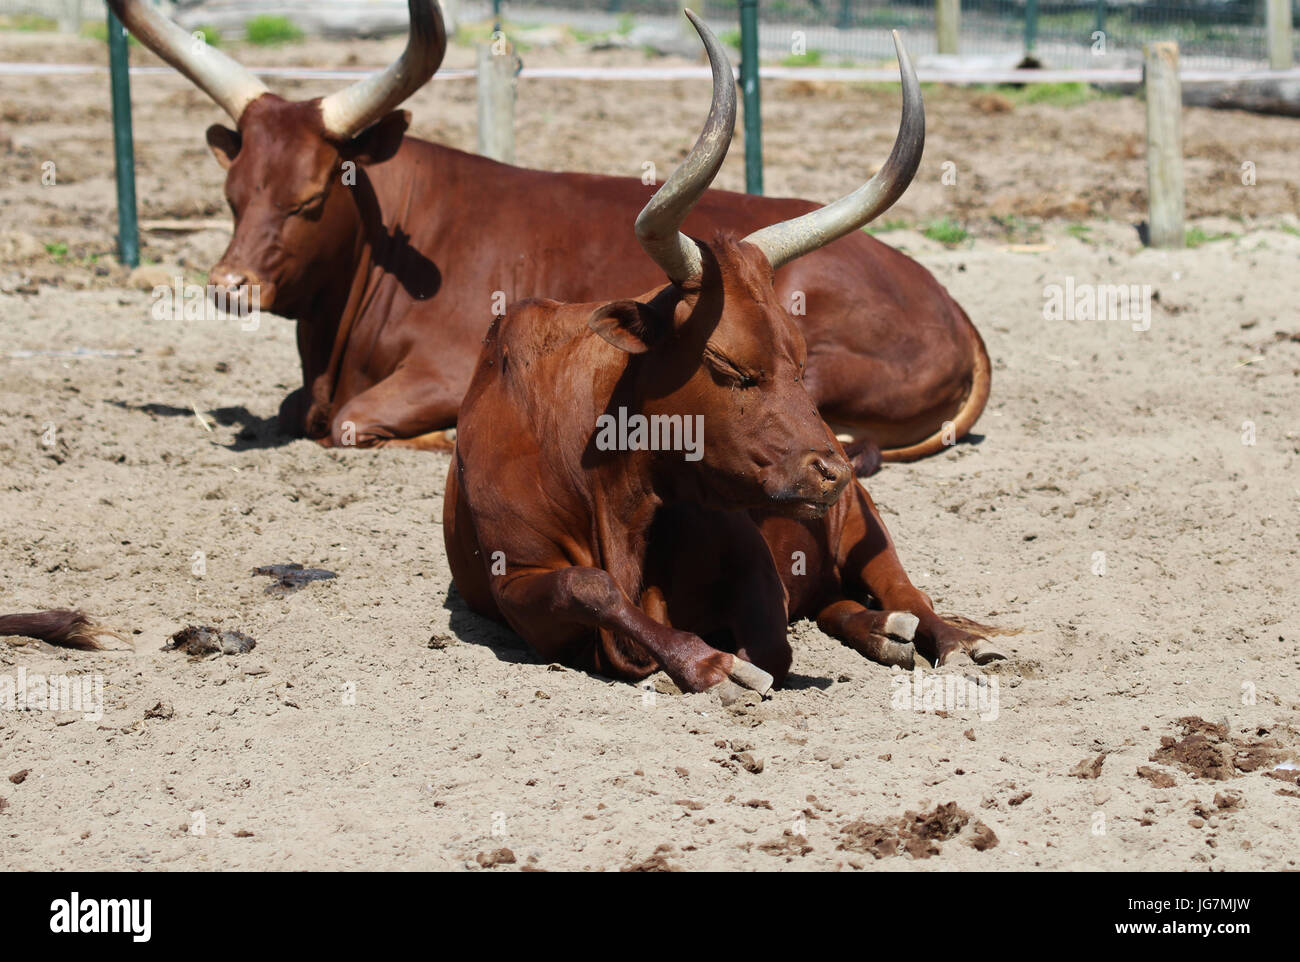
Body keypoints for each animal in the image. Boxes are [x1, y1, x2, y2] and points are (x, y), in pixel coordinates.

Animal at [110, 0, 989, 474]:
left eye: (313, 197)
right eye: (232, 193)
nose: (229, 287)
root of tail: (953, 306)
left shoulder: (440, 370)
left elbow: (349, 423)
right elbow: (301, 411)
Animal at [443, 17, 1004, 699]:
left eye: (801, 361)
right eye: (728, 364)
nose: (833, 471)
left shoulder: (751, 554)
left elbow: (771, 644)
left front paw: (720, 660)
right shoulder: (516, 582)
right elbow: (589, 586)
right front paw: (704, 662)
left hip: (861, 527)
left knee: (905, 590)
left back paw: (948, 638)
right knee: (839, 606)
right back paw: (881, 632)